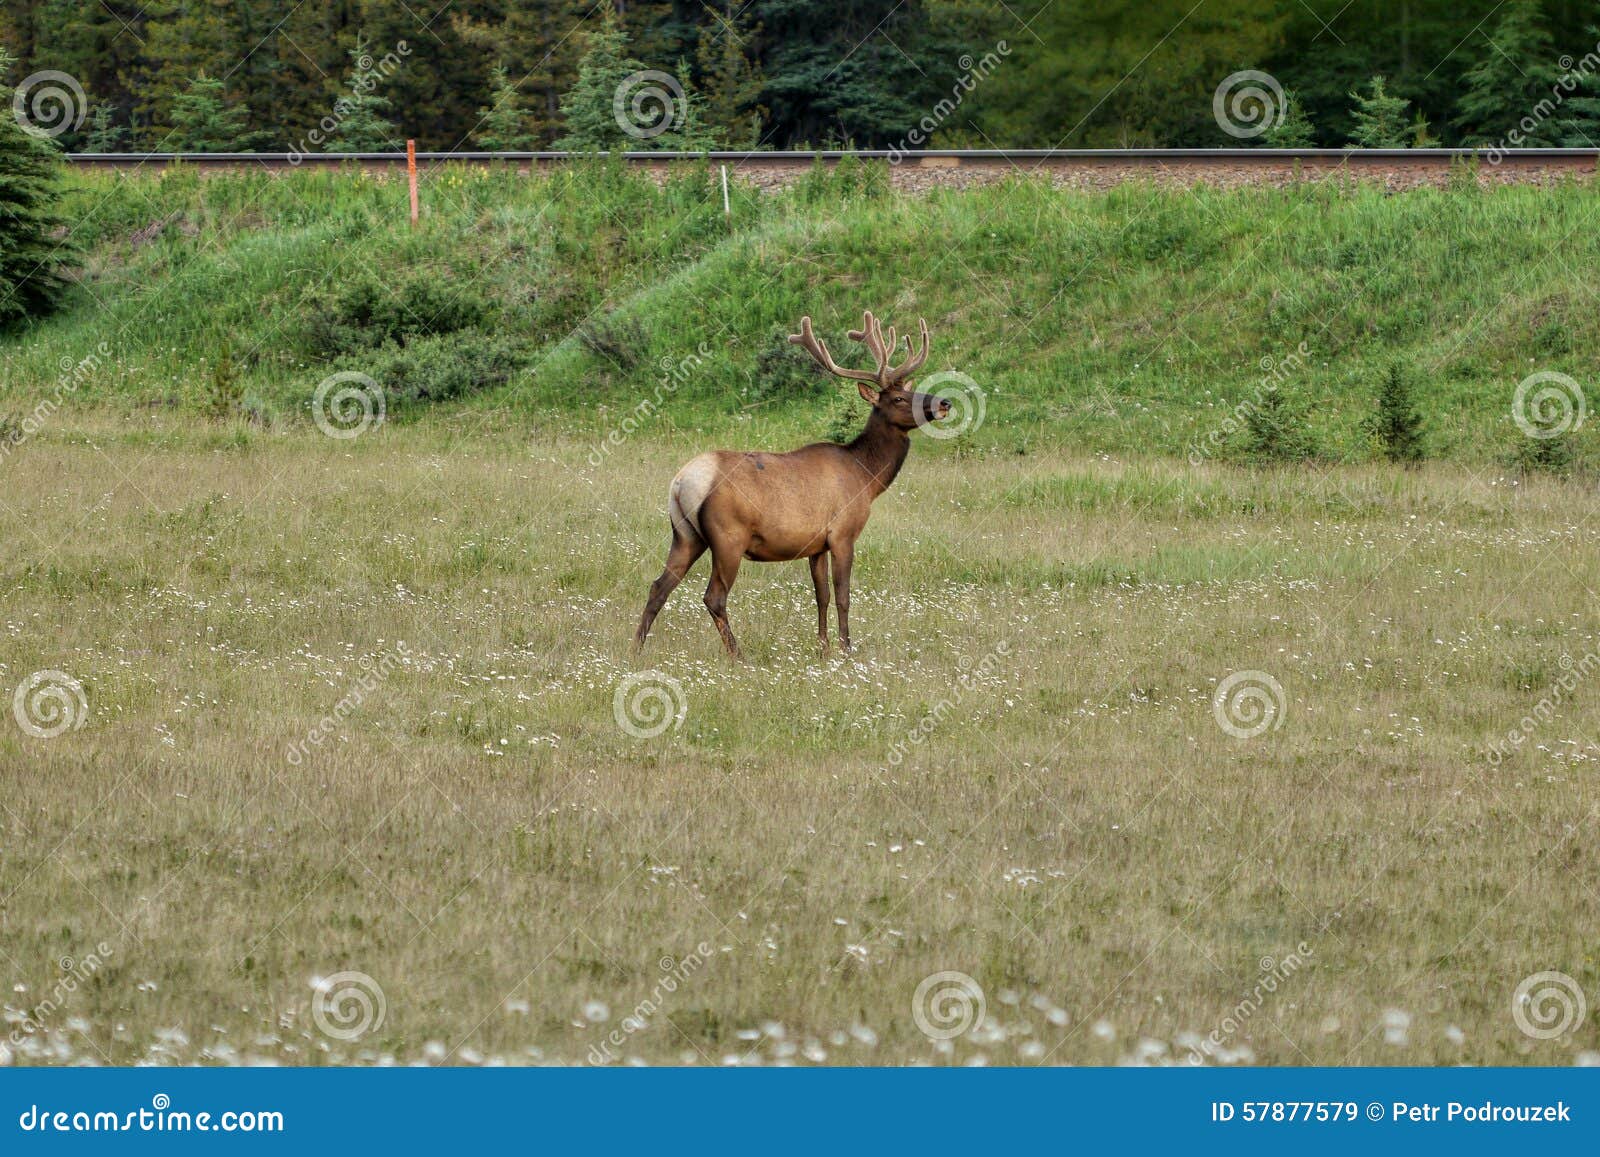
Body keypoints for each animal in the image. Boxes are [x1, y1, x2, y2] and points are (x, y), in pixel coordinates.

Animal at [633, 311, 951, 659]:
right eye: (898, 398)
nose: (944, 403)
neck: (867, 478)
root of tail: (681, 482)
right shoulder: (843, 534)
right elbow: (843, 596)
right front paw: (846, 650)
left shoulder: (816, 545)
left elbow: (821, 595)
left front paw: (823, 648)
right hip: (728, 536)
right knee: (713, 596)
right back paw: (738, 656)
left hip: (685, 534)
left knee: (658, 586)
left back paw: (635, 648)